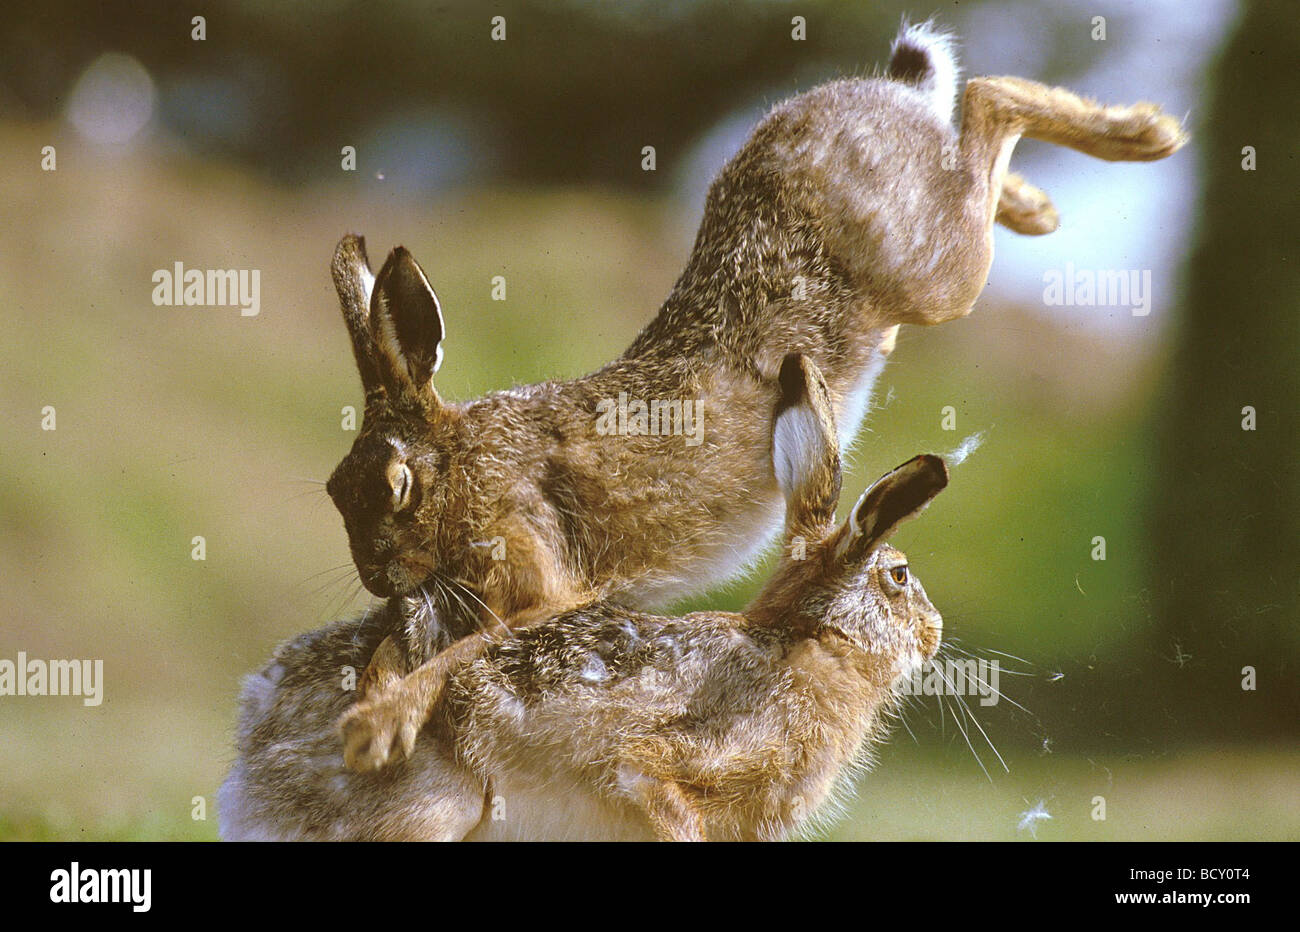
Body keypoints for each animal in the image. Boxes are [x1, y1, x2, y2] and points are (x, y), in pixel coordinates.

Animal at [220, 354, 948, 841]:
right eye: (899, 575)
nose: (935, 631)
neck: (809, 641)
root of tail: (257, 721)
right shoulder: (663, 766)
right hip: (431, 811)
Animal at [324, 19, 1184, 770]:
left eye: (397, 486)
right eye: (335, 488)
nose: (375, 579)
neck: (467, 471)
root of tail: (883, 94)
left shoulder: (548, 584)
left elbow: (468, 650)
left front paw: (378, 730)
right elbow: (396, 647)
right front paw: (364, 714)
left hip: (942, 274)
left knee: (986, 104)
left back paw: (1143, 138)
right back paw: (1043, 199)